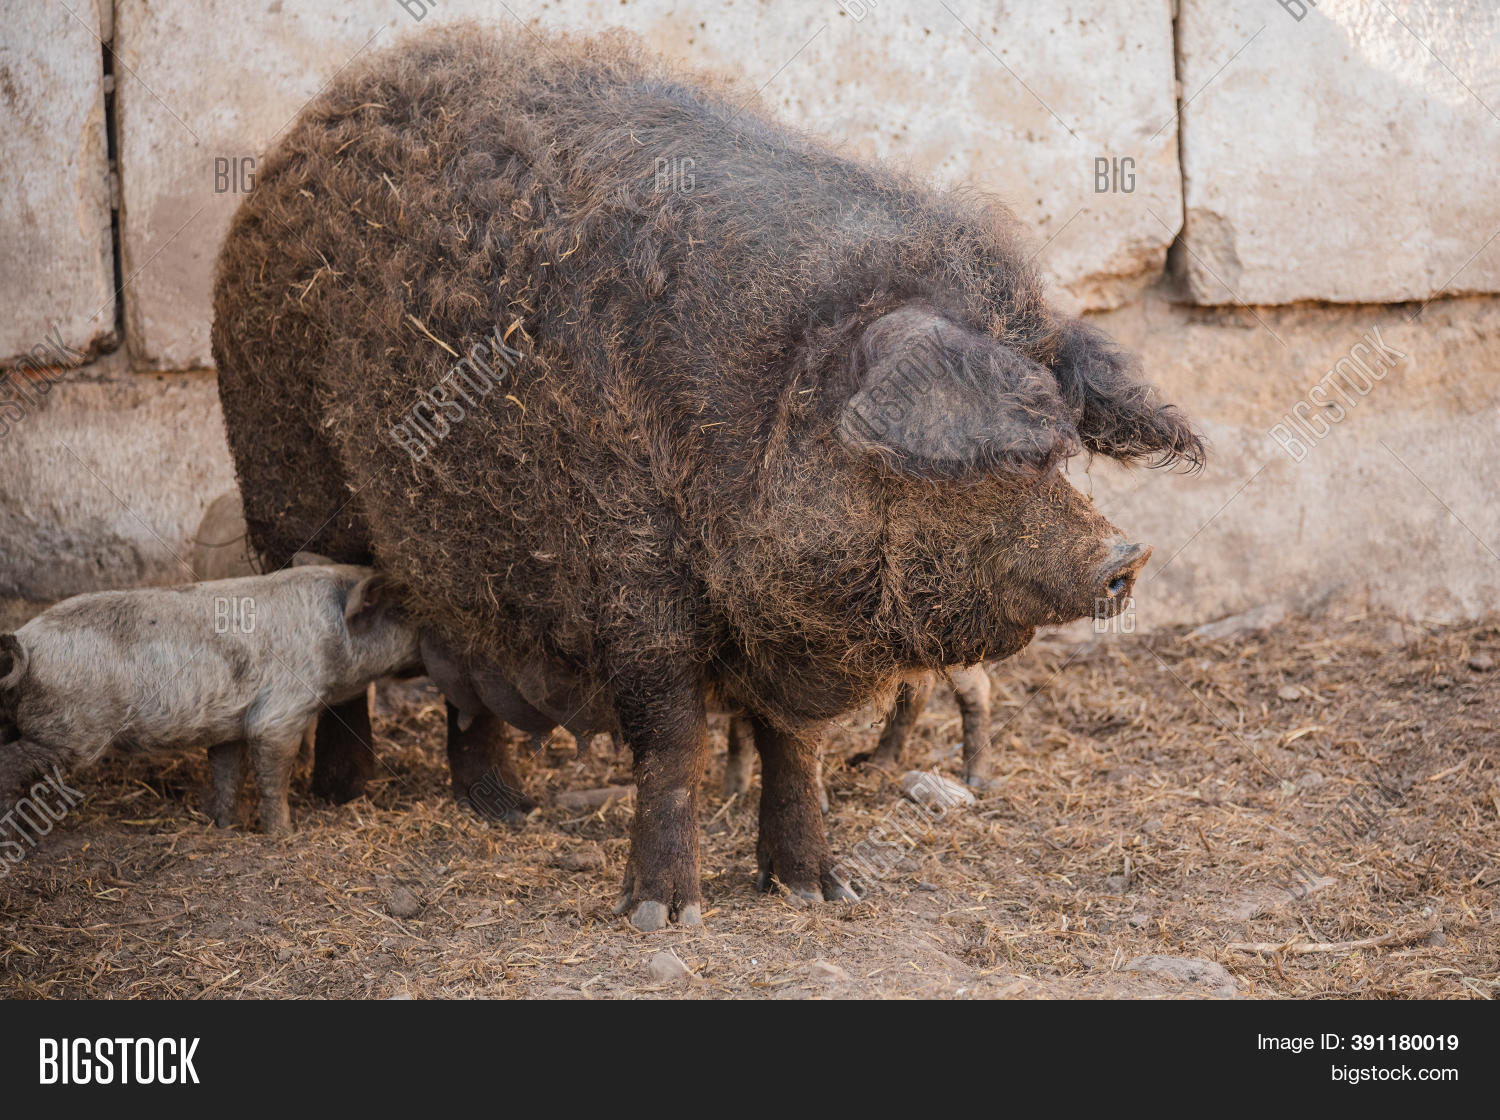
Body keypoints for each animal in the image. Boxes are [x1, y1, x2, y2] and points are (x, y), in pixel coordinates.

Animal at [0, 566, 419, 834]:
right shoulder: (282, 710)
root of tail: (27, 640)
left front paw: (224, 826)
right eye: (399, 611)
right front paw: (284, 835)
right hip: (70, 732)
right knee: (13, 762)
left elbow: (227, 772)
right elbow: (273, 772)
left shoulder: (229, 724)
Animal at [211, 27, 1203, 928]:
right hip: (282, 478)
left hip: (459, 555)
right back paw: (345, 794)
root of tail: (294, 143)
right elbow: (674, 739)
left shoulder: (796, 631)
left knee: (466, 670)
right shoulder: (634, 574)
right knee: (334, 641)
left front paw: (822, 892)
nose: (1126, 555)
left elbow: (794, 745)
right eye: (989, 459)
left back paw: (505, 810)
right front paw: (663, 918)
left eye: (1059, 447)